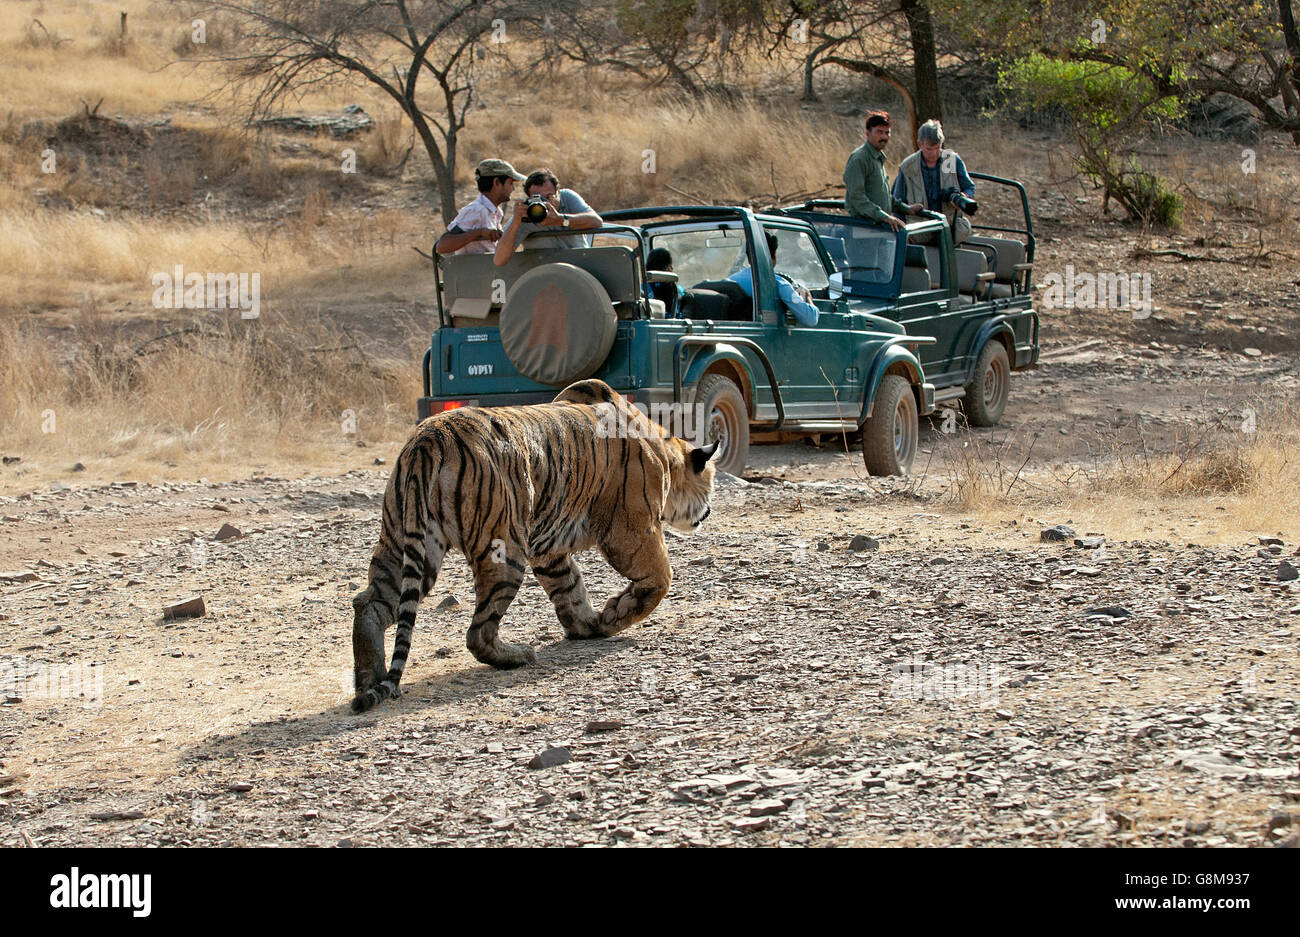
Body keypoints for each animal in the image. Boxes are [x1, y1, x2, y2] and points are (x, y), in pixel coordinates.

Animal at [350, 378, 718, 713]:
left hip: (408, 544)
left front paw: (588, 626)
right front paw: (614, 616)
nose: (709, 511)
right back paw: (518, 655)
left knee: (368, 603)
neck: (665, 452)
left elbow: (570, 587)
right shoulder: (632, 529)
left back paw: (369, 679)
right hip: (504, 551)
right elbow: (660, 577)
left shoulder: (548, 550)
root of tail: (429, 438)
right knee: (477, 632)